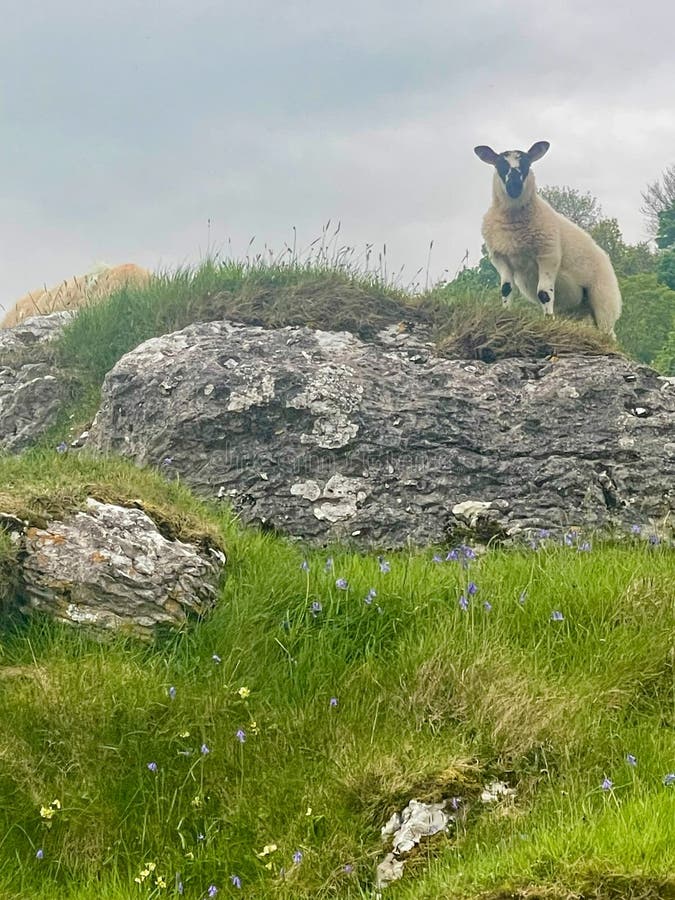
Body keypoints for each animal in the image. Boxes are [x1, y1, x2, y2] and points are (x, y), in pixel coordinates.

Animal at [473, 141, 622, 337]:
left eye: (527, 164)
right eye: (500, 165)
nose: (514, 187)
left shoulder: (548, 255)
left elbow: (544, 293)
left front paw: (547, 320)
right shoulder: (500, 258)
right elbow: (506, 289)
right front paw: (505, 313)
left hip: (604, 300)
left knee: (609, 334)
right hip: (575, 308)